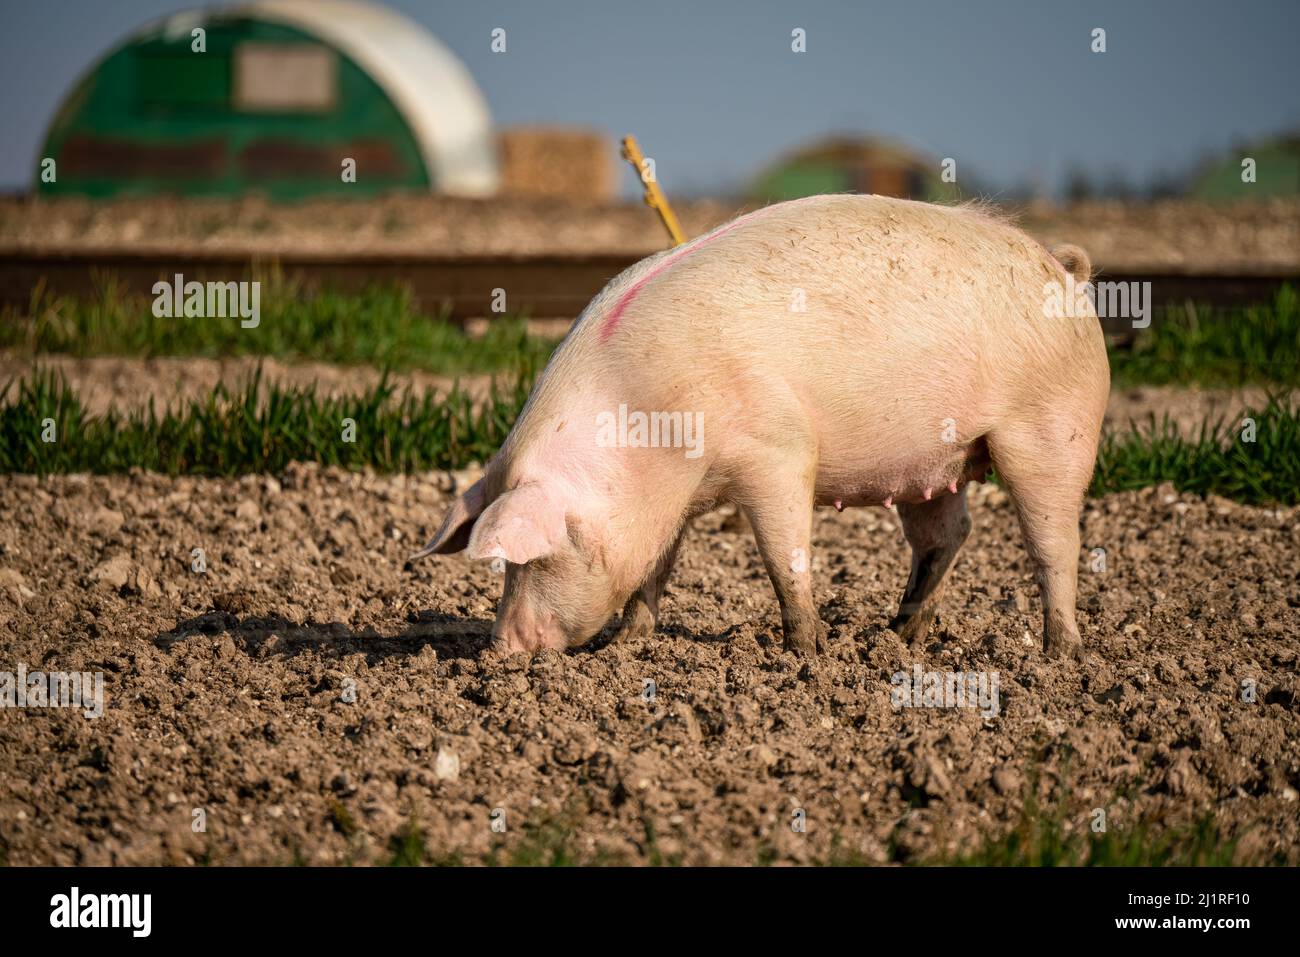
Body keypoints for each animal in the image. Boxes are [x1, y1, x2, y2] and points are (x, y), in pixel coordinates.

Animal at [411, 194, 1109, 660]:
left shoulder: (778, 452)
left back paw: (1060, 656)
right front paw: (629, 646)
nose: (500, 649)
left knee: (1055, 544)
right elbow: (656, 567)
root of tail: (1063, 266)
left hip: (1051, 429)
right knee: (948, 532)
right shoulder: (673, 501)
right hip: (934, 463)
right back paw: (896, 637)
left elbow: (783, 556)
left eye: (533, 557)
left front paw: (807, 654)